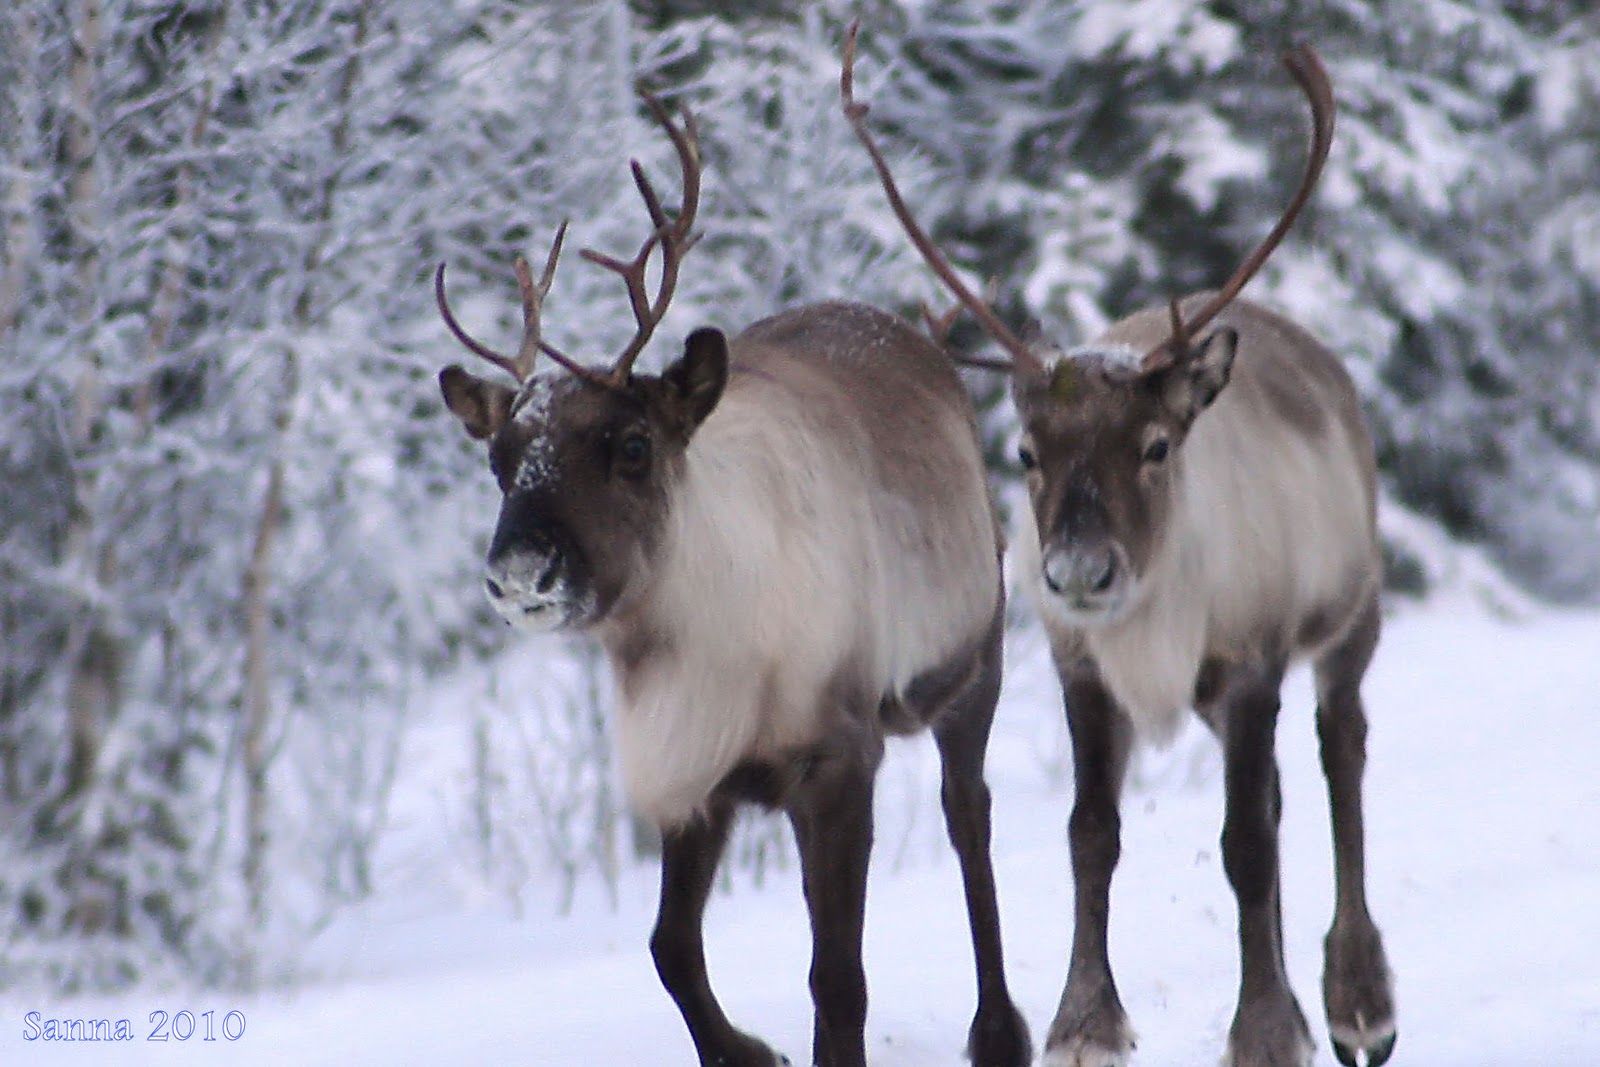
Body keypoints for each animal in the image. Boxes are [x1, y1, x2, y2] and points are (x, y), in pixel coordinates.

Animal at [433, 91, 1032, 1067]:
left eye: (634, 445)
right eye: (500, 458)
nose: (521, 572)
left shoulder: (840, 755)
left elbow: (840, 979)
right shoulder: (698, 778)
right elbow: (671, 946)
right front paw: (751, 1050)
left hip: (976, 661)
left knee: (968, 814)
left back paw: (1002, 1029)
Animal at [843, 27, 1395, 1067]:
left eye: (1155, 445)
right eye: (1026, 452)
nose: (1078, 573)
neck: (1156, 622)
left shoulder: (1253, 654)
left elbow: (1244, 842)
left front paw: (1265, 1029)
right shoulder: (1085, 668)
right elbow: (1091, 830)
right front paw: (1086, 1019)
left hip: (1352, 611)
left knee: (1340, 751)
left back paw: (1355, 1000)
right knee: (1278, 793)